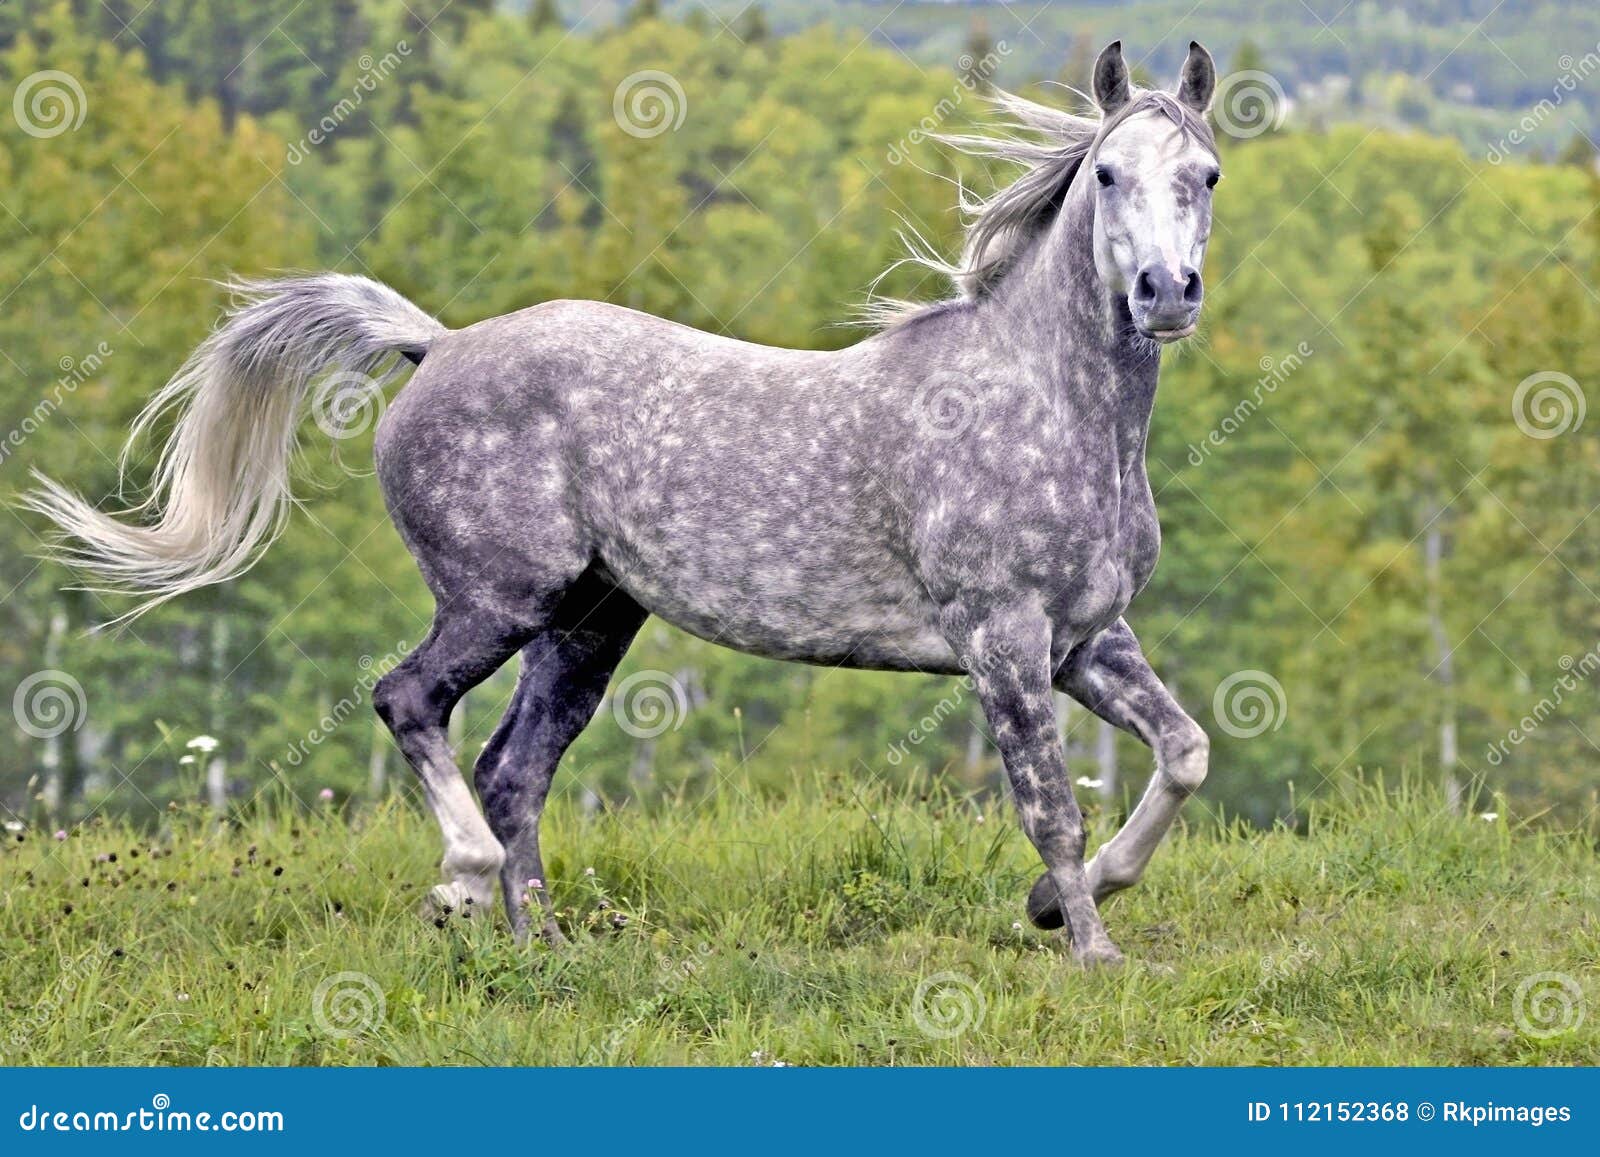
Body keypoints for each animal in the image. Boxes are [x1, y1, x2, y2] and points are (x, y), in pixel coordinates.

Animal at [27, 41, 1222, 965]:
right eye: (1106, 174)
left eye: (1205, 174)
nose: (1166, 295)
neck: (1044, 404)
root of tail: (437, 344)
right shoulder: (1001, 640)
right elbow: (1050, 802)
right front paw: (1090, 948)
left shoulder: (1087, 639)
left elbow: (1184, 751)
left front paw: (1062, 906)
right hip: (497, 600)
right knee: (410, 703)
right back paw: (464, 885)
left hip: (590, 622)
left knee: (514, 771)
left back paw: (541, 947)